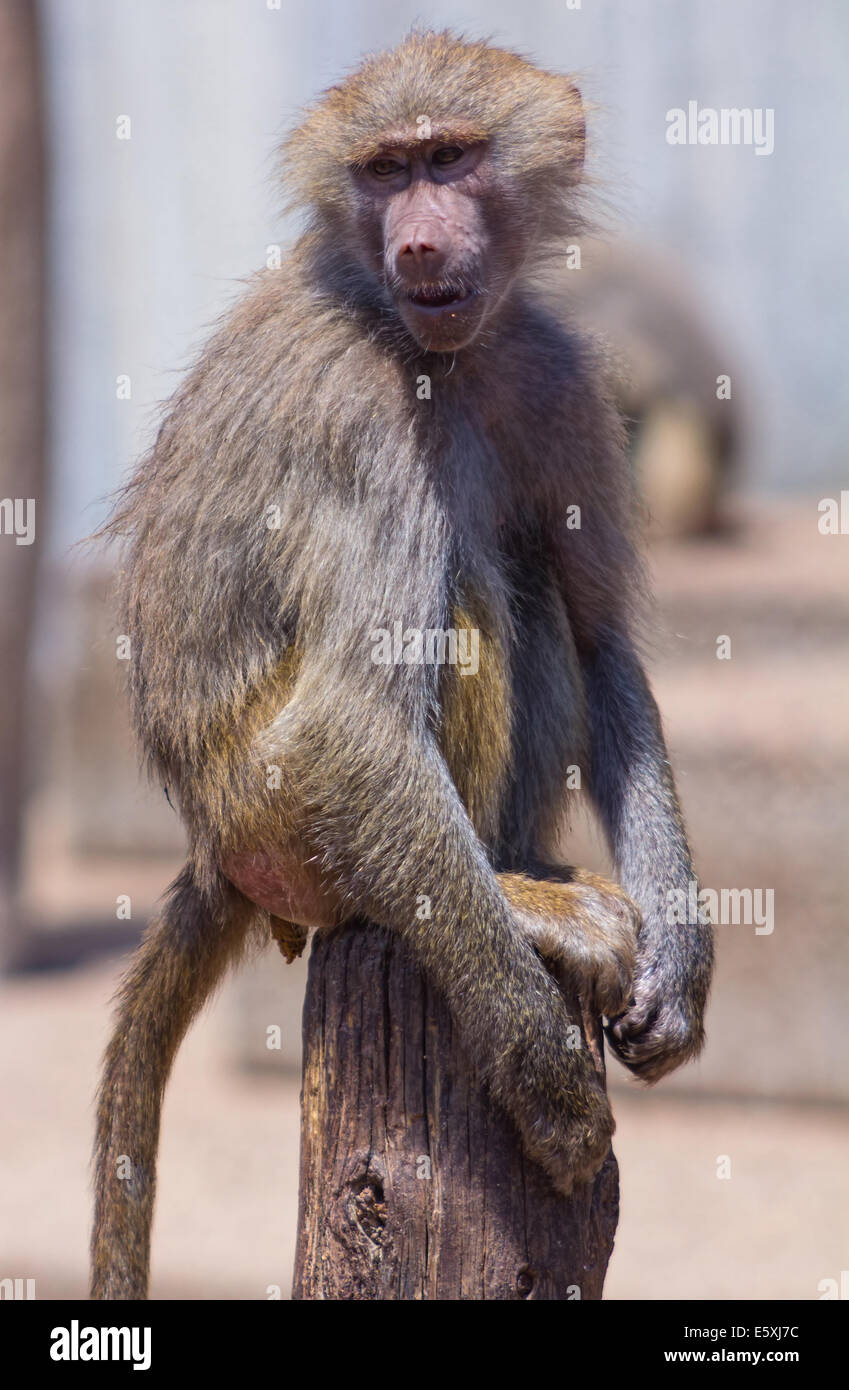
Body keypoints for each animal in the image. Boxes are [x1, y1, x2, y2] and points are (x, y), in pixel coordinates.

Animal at [91, 30, 713, 1300]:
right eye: (385, 170)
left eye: (449, 156)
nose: (419, 242)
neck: (436, 349)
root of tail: (207, 840)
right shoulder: (361, 415)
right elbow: (353, 722)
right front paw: (549, 1089)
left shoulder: (555, 370)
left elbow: (601, 641)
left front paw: (680, 963)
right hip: (273, 814)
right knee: (458, 605)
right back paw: (517, 909)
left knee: (526, 588)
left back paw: (524, 868)